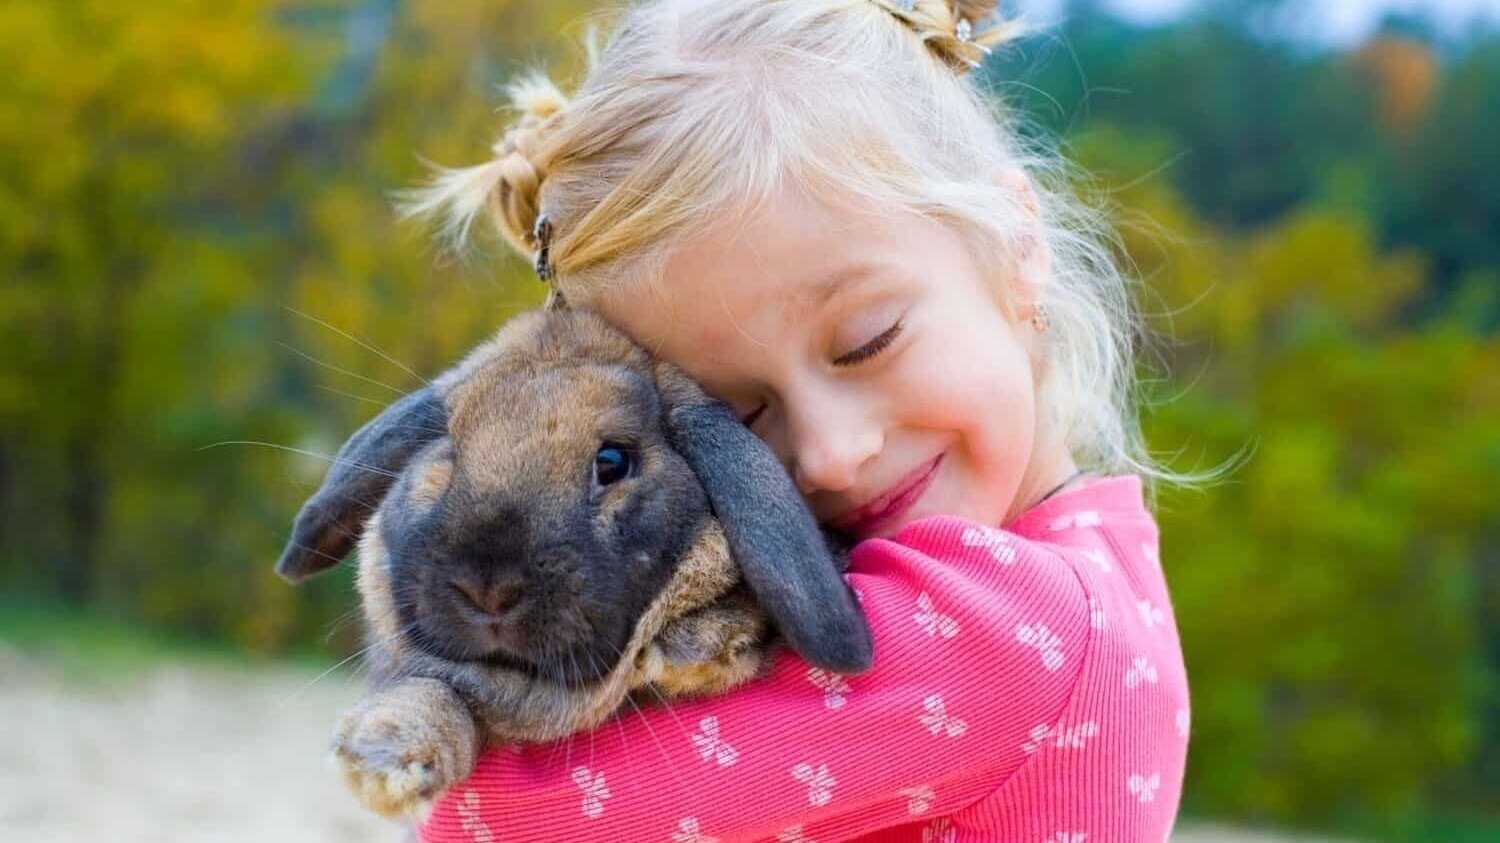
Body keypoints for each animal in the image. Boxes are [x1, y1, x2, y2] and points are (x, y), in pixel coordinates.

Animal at [274, 307, 873, 820]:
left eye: (613, 461)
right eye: (448, 451)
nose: (488, 589)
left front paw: (700, 644)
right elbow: (437, 691)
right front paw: (383, 756)